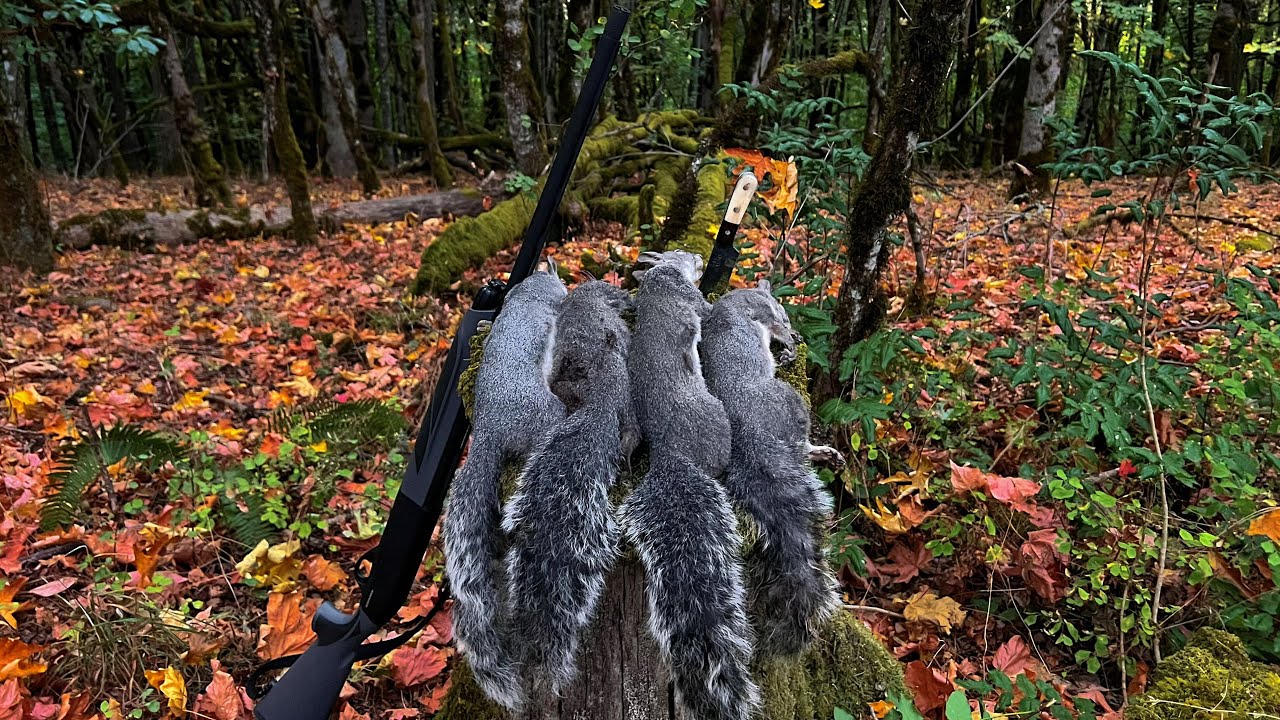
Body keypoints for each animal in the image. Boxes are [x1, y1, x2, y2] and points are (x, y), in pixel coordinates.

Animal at [620, 250, 760, 720]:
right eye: (684, 256)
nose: (699, 257)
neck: (660, 277)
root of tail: (671, 456)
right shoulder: (690, 298)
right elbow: (708, 310)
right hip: (717, 422)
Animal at [701, 281, 843, 657]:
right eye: (784, 310)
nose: (793, 325)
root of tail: (748, 433)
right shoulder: (762, 314)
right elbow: (777, 330)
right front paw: (790, 343)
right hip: (789, 400)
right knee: (800, 443)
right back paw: (818, 451)